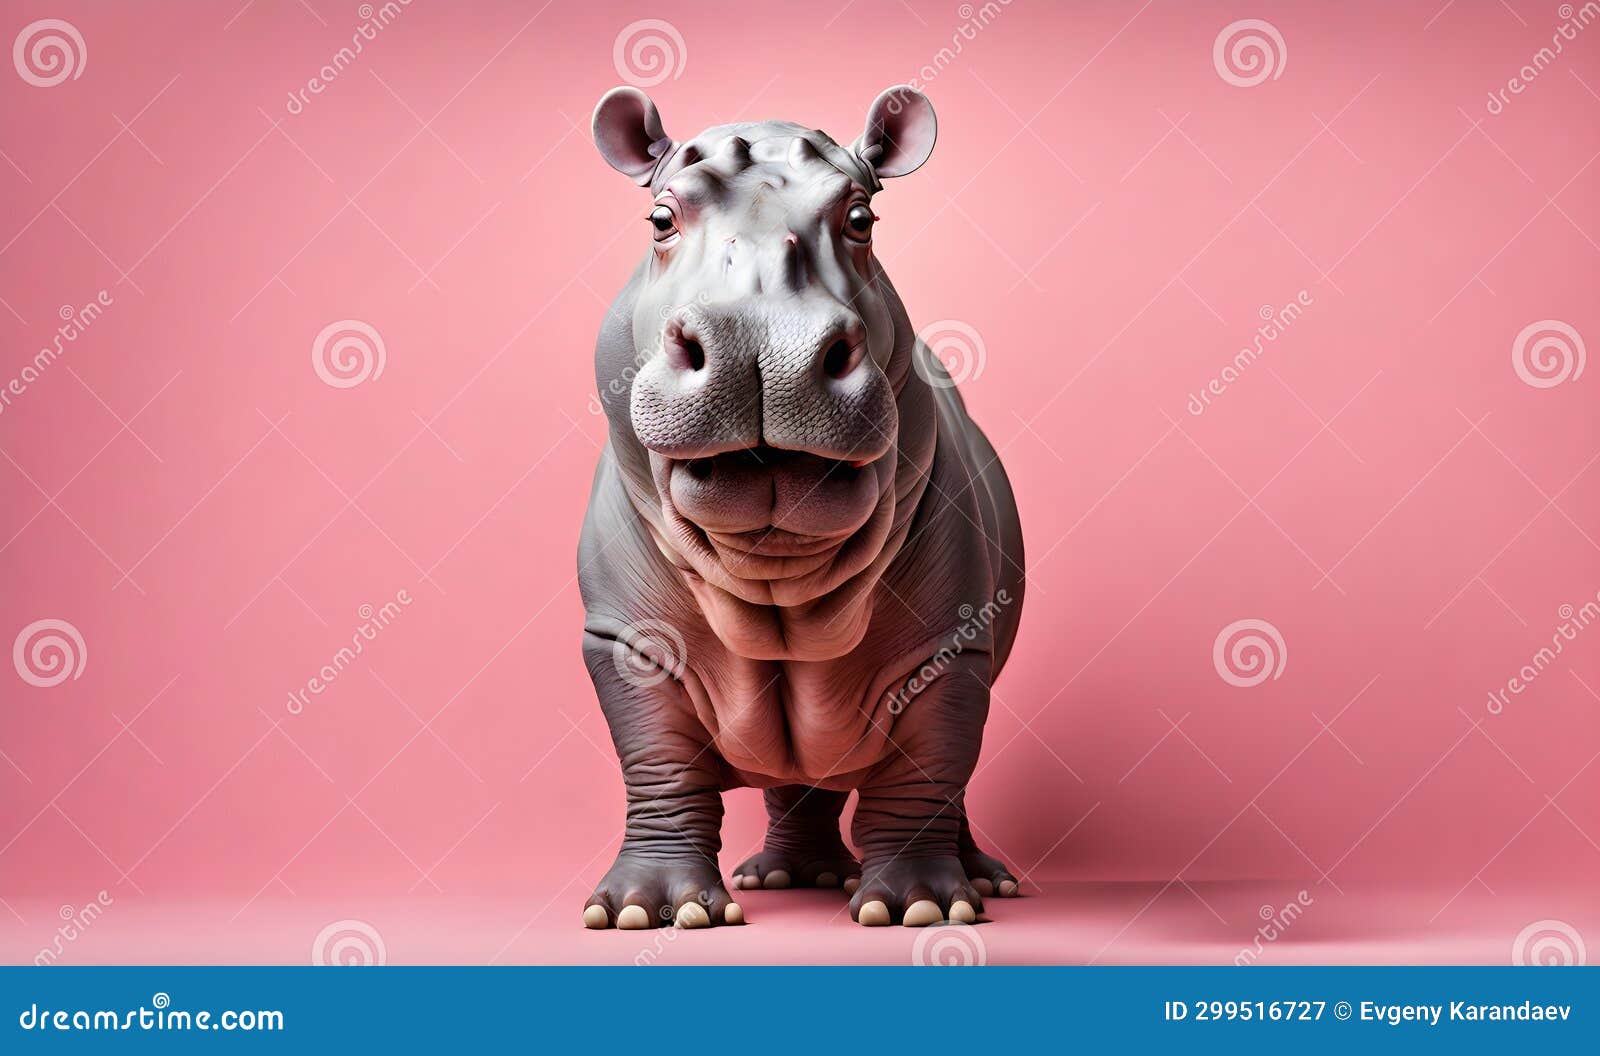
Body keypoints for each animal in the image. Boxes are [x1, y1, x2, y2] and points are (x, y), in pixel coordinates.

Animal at [578, 85, 1025, 929]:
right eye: (660, 217)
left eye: (863, 218)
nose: (763, 341)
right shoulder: (624, 637)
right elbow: (656, 766)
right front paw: (644, 912)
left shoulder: (950, 647)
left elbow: (925, 768)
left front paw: (919, 906)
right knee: (797, 781)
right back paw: (792, 878)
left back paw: (984, 884)